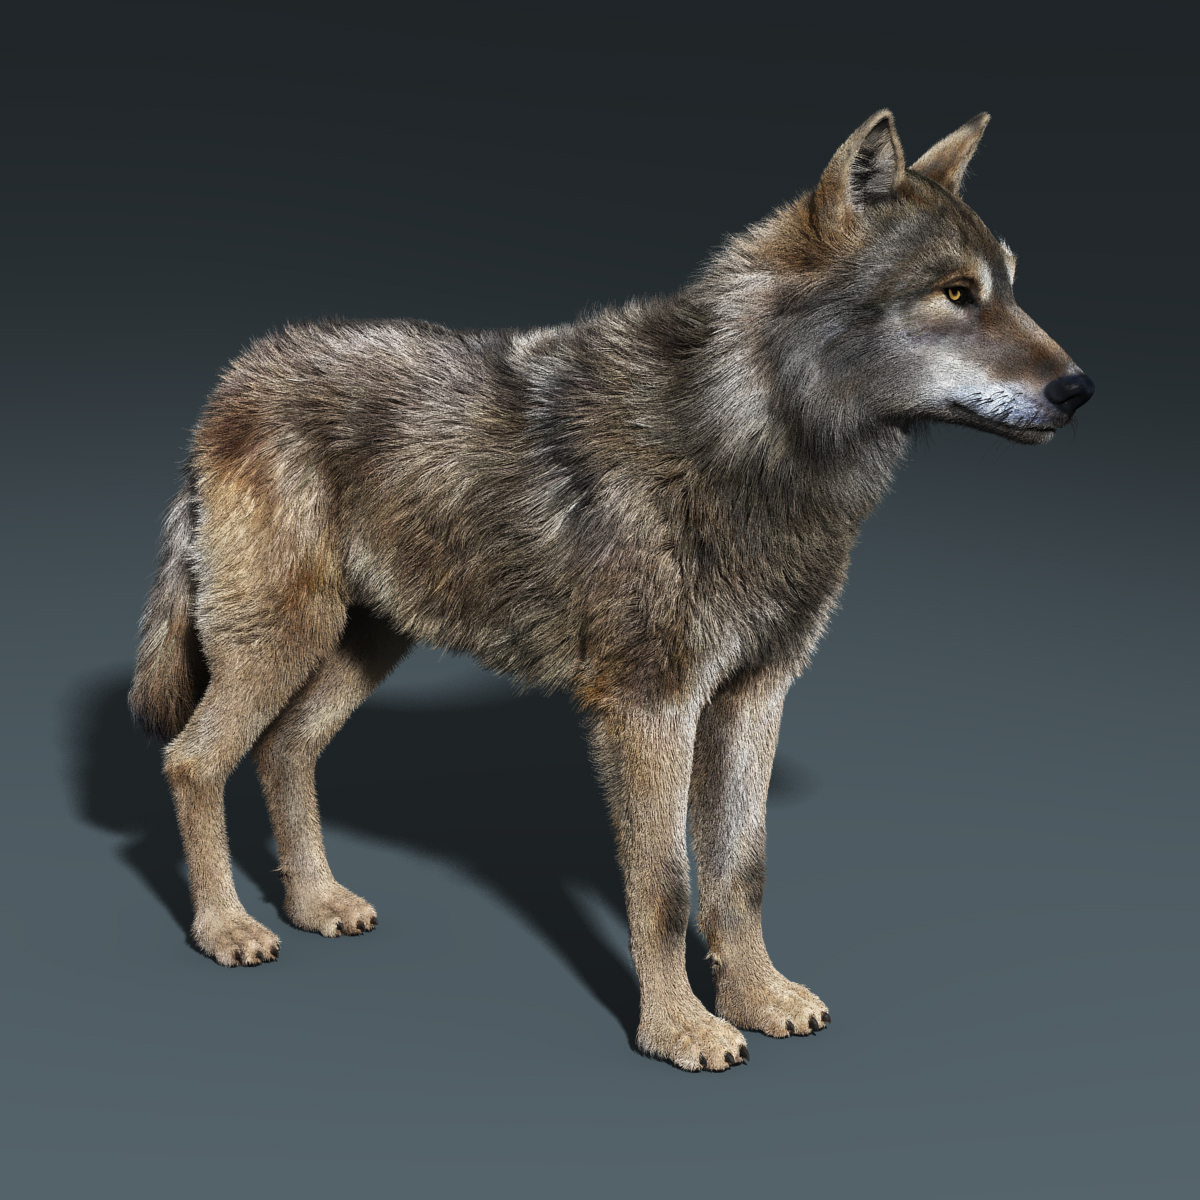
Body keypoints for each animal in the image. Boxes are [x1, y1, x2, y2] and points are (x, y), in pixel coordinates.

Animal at [130, 110, 1092, 1071]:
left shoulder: (754, 697)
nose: (1081, 389)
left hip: (362, 647)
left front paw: (759, 999)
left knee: (284, 751)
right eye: (956, 294)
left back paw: (317, 903)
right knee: (191, 760)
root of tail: (229, 383)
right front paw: (679, 1031)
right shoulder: (649, 709)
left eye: (1008, 288)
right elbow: (666, 887)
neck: (753, 437)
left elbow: (741, 872)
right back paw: (226, 929)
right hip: (283, 641)